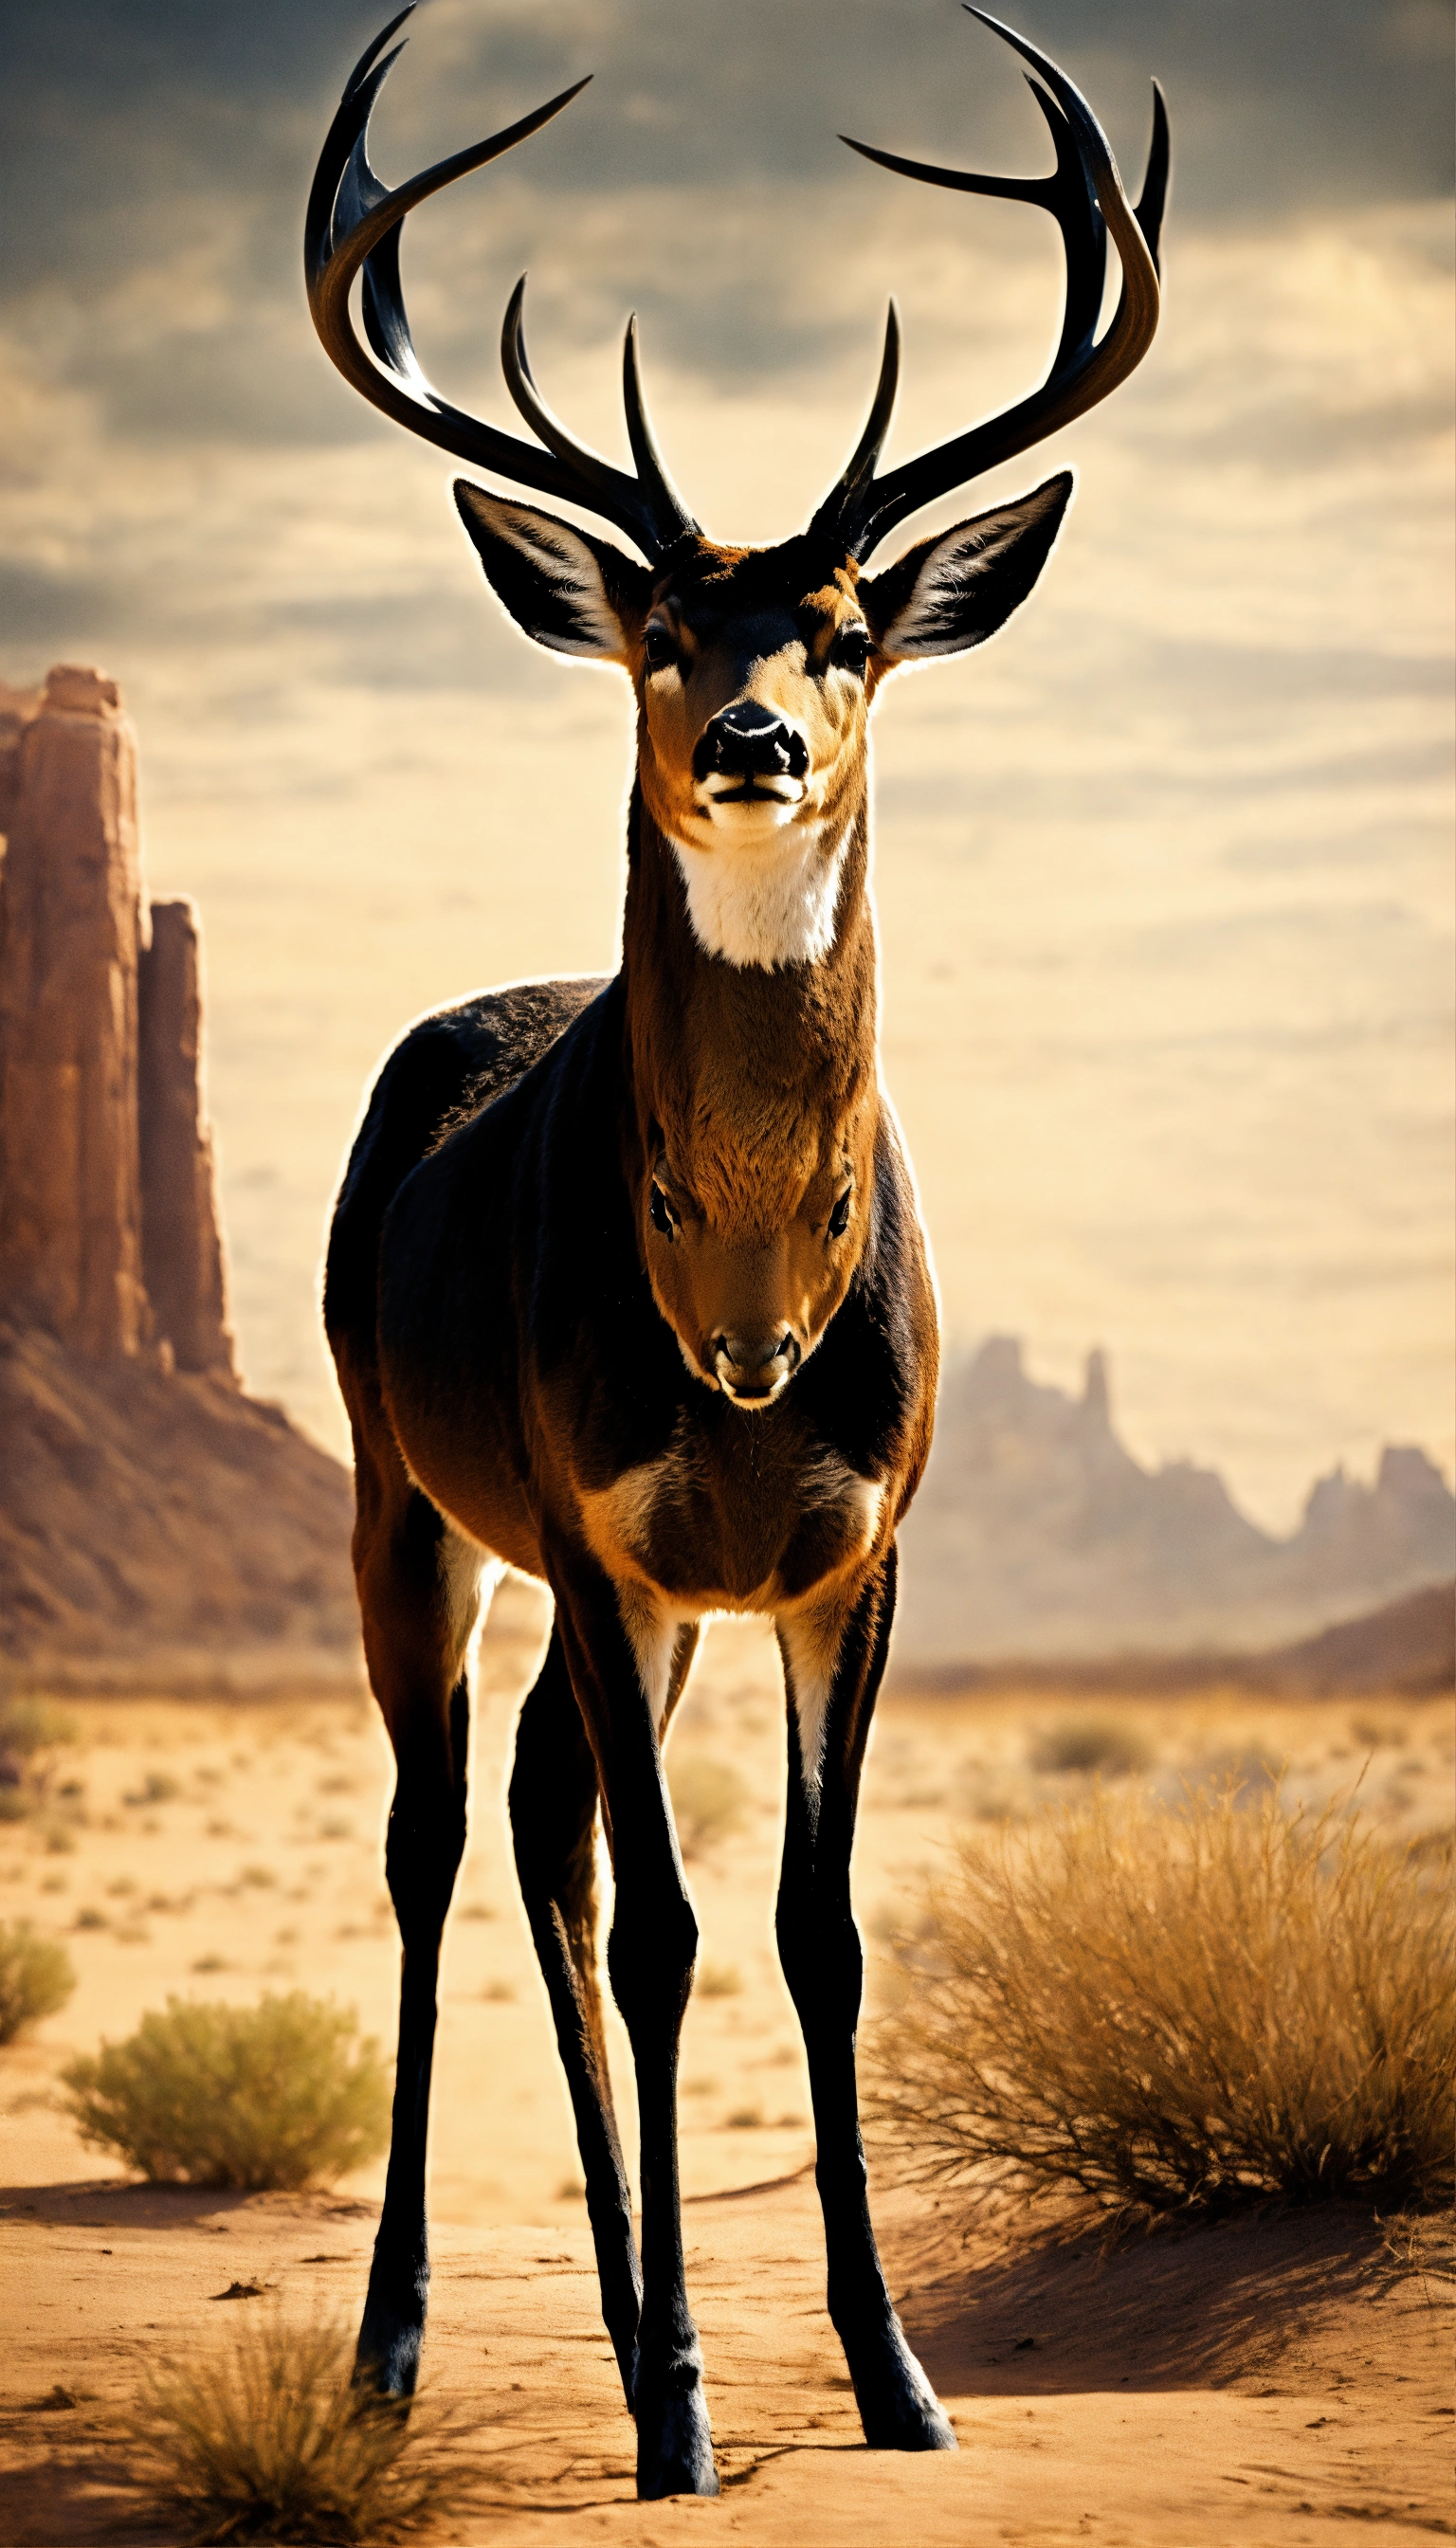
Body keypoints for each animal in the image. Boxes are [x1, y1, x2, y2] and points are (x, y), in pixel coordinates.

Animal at [306, 3, 1166, 2501]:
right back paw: (413, 2346)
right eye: (665, 626)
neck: (751, 1311)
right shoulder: (597, 1533)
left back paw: (614, 2316)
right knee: (443, 1840)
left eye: (854, 620)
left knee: (542, 1827)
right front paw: (691, 2399)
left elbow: (813, 1931)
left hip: (655, 1601)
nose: (762, 736)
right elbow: (683, 1928)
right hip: (409, 1504)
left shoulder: (837, 1554)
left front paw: (891, 2377)